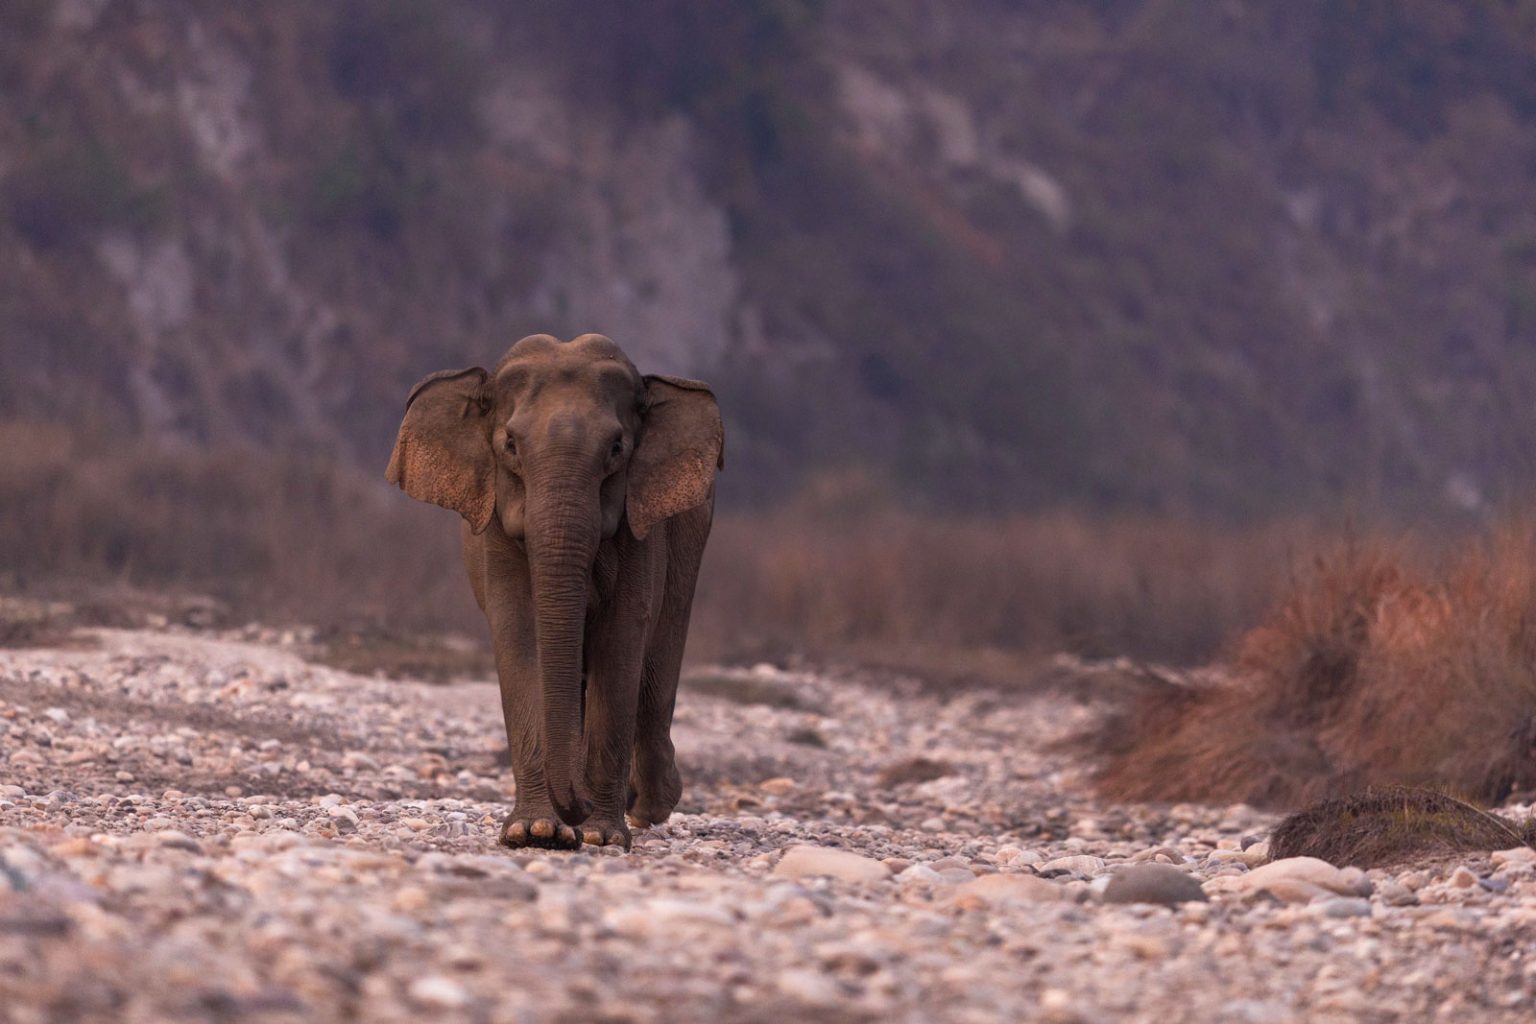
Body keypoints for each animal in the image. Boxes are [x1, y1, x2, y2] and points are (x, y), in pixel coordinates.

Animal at [386, 333, 724, 850]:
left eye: (617, 448)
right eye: (510, 445)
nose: (576, 805)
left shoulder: (639, 531)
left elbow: (621, 640)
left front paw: (601, 837)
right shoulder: (496, 528)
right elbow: (520, 636)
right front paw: (536, 833)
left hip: (690, 533)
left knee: (659, 657)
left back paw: (649, 805)